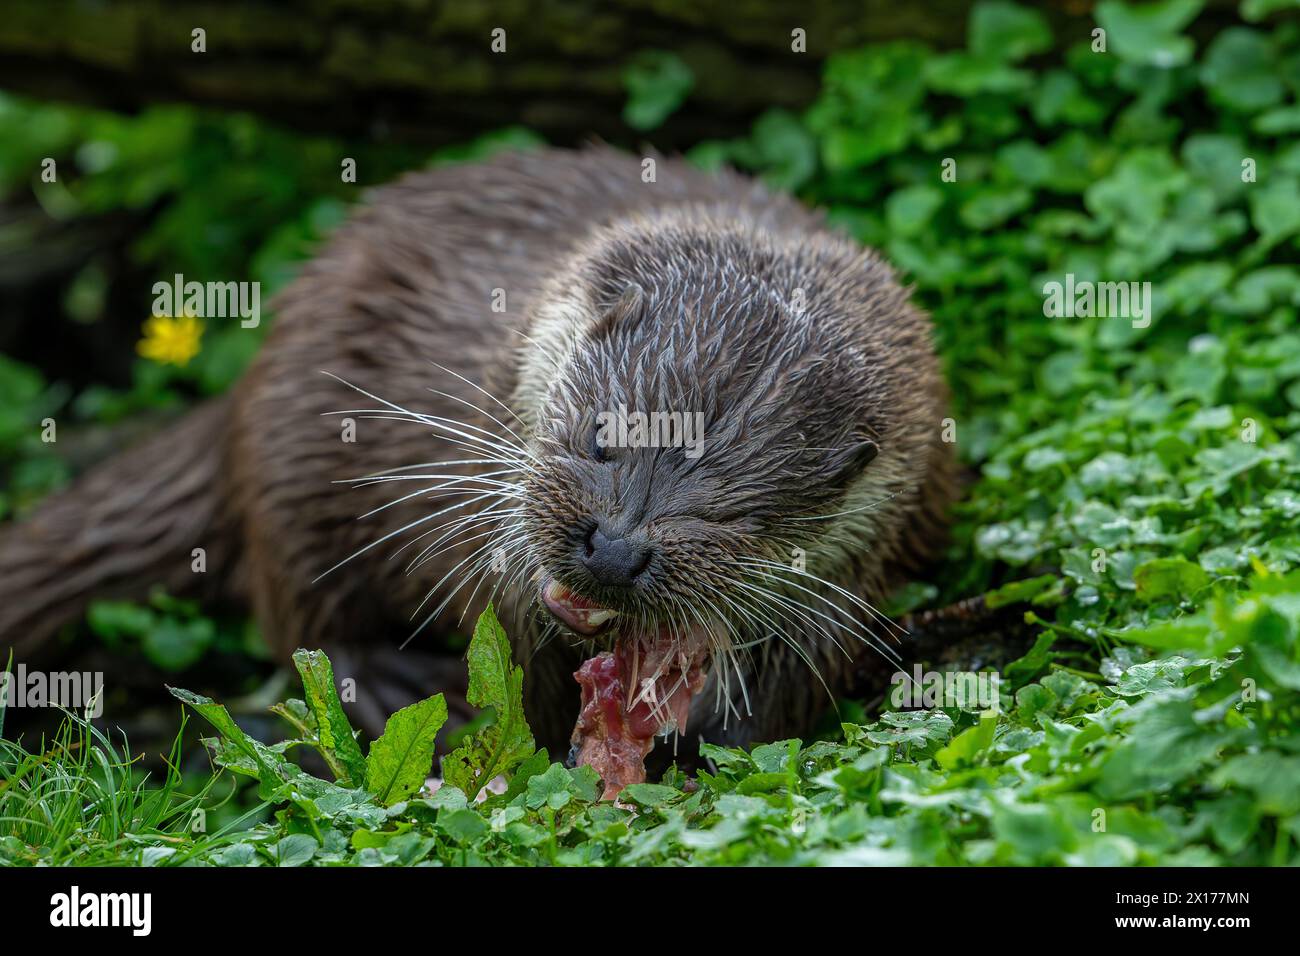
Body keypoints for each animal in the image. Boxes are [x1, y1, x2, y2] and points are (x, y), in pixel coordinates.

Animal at [0, 146, 958, 777]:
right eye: (602, 435)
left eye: (741, 519)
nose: (615, 547)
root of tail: (244, 392)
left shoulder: (865, 569)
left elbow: (780, 707)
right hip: (296, 451)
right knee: (295, 603)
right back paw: (386, 678)